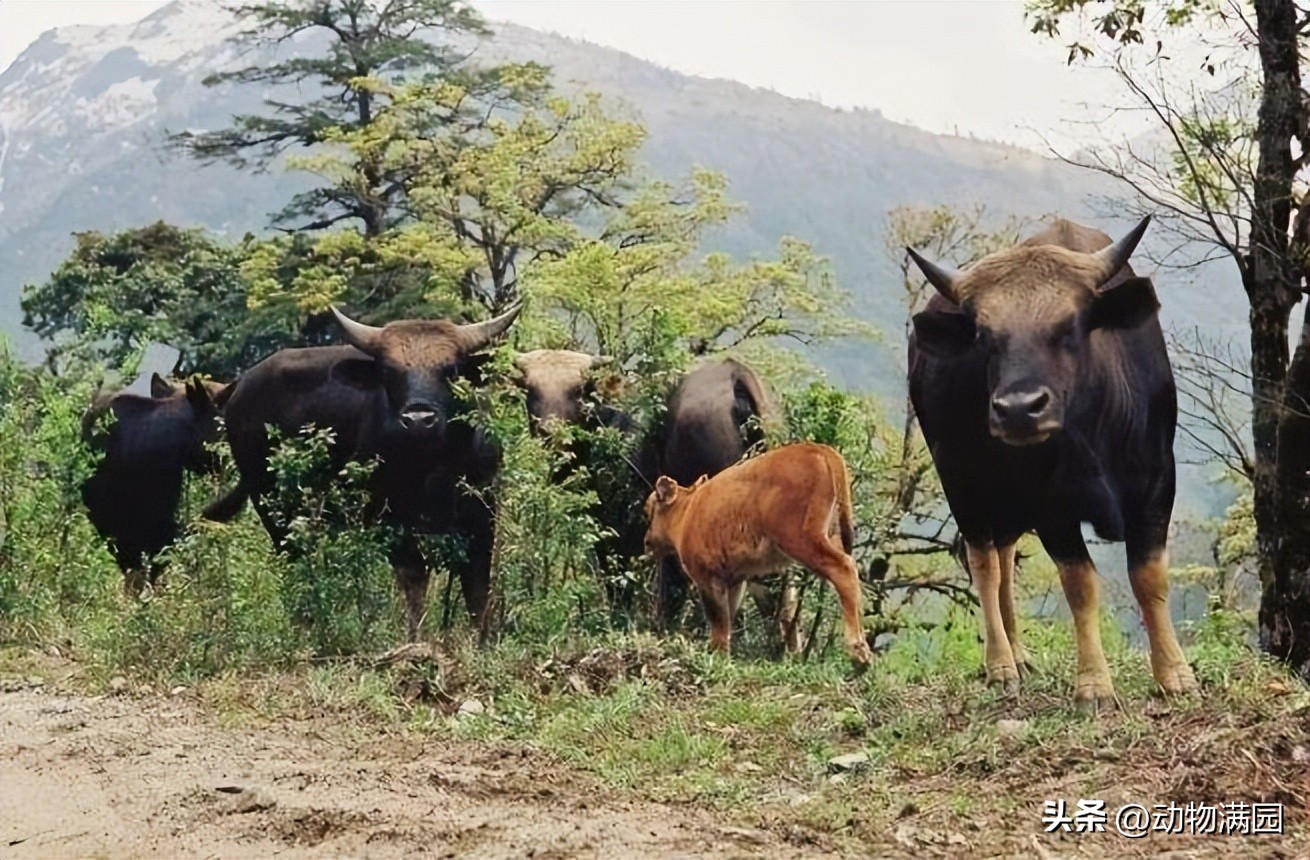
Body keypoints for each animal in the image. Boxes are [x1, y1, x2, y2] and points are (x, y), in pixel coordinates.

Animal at [203, 305, 520, 641]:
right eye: (390, 373)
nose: (418, 419)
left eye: (451, 370)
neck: (431, 467)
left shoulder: (482, 518)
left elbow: (477, 592)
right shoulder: (391, 521)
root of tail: (238, 390)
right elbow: (415, 583)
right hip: (271, 506)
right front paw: (417, 640)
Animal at [642, 442, 872, 670]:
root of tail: (819, 449)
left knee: (844, 568)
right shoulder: (734, 581)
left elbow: (718, 621)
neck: (687, 509)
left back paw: (858, 653)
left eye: (649, 508)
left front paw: (716, 656)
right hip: (830, 537)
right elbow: (728, 620)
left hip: (803, 541)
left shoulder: (708, 578)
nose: (647, 541)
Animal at [906, 215, 1197, 712]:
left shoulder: (1159, 483)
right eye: (984, 337)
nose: (1019, 409)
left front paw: (1175, 675)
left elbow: (1150, 577)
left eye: (1069, 326)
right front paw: (1094, 686)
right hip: (960, 481)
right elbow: (1080, 585)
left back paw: (1020, 655)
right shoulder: (1050, 506)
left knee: (1004, 557)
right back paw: (1001, 665)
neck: (1091, 441)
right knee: (984, 562)